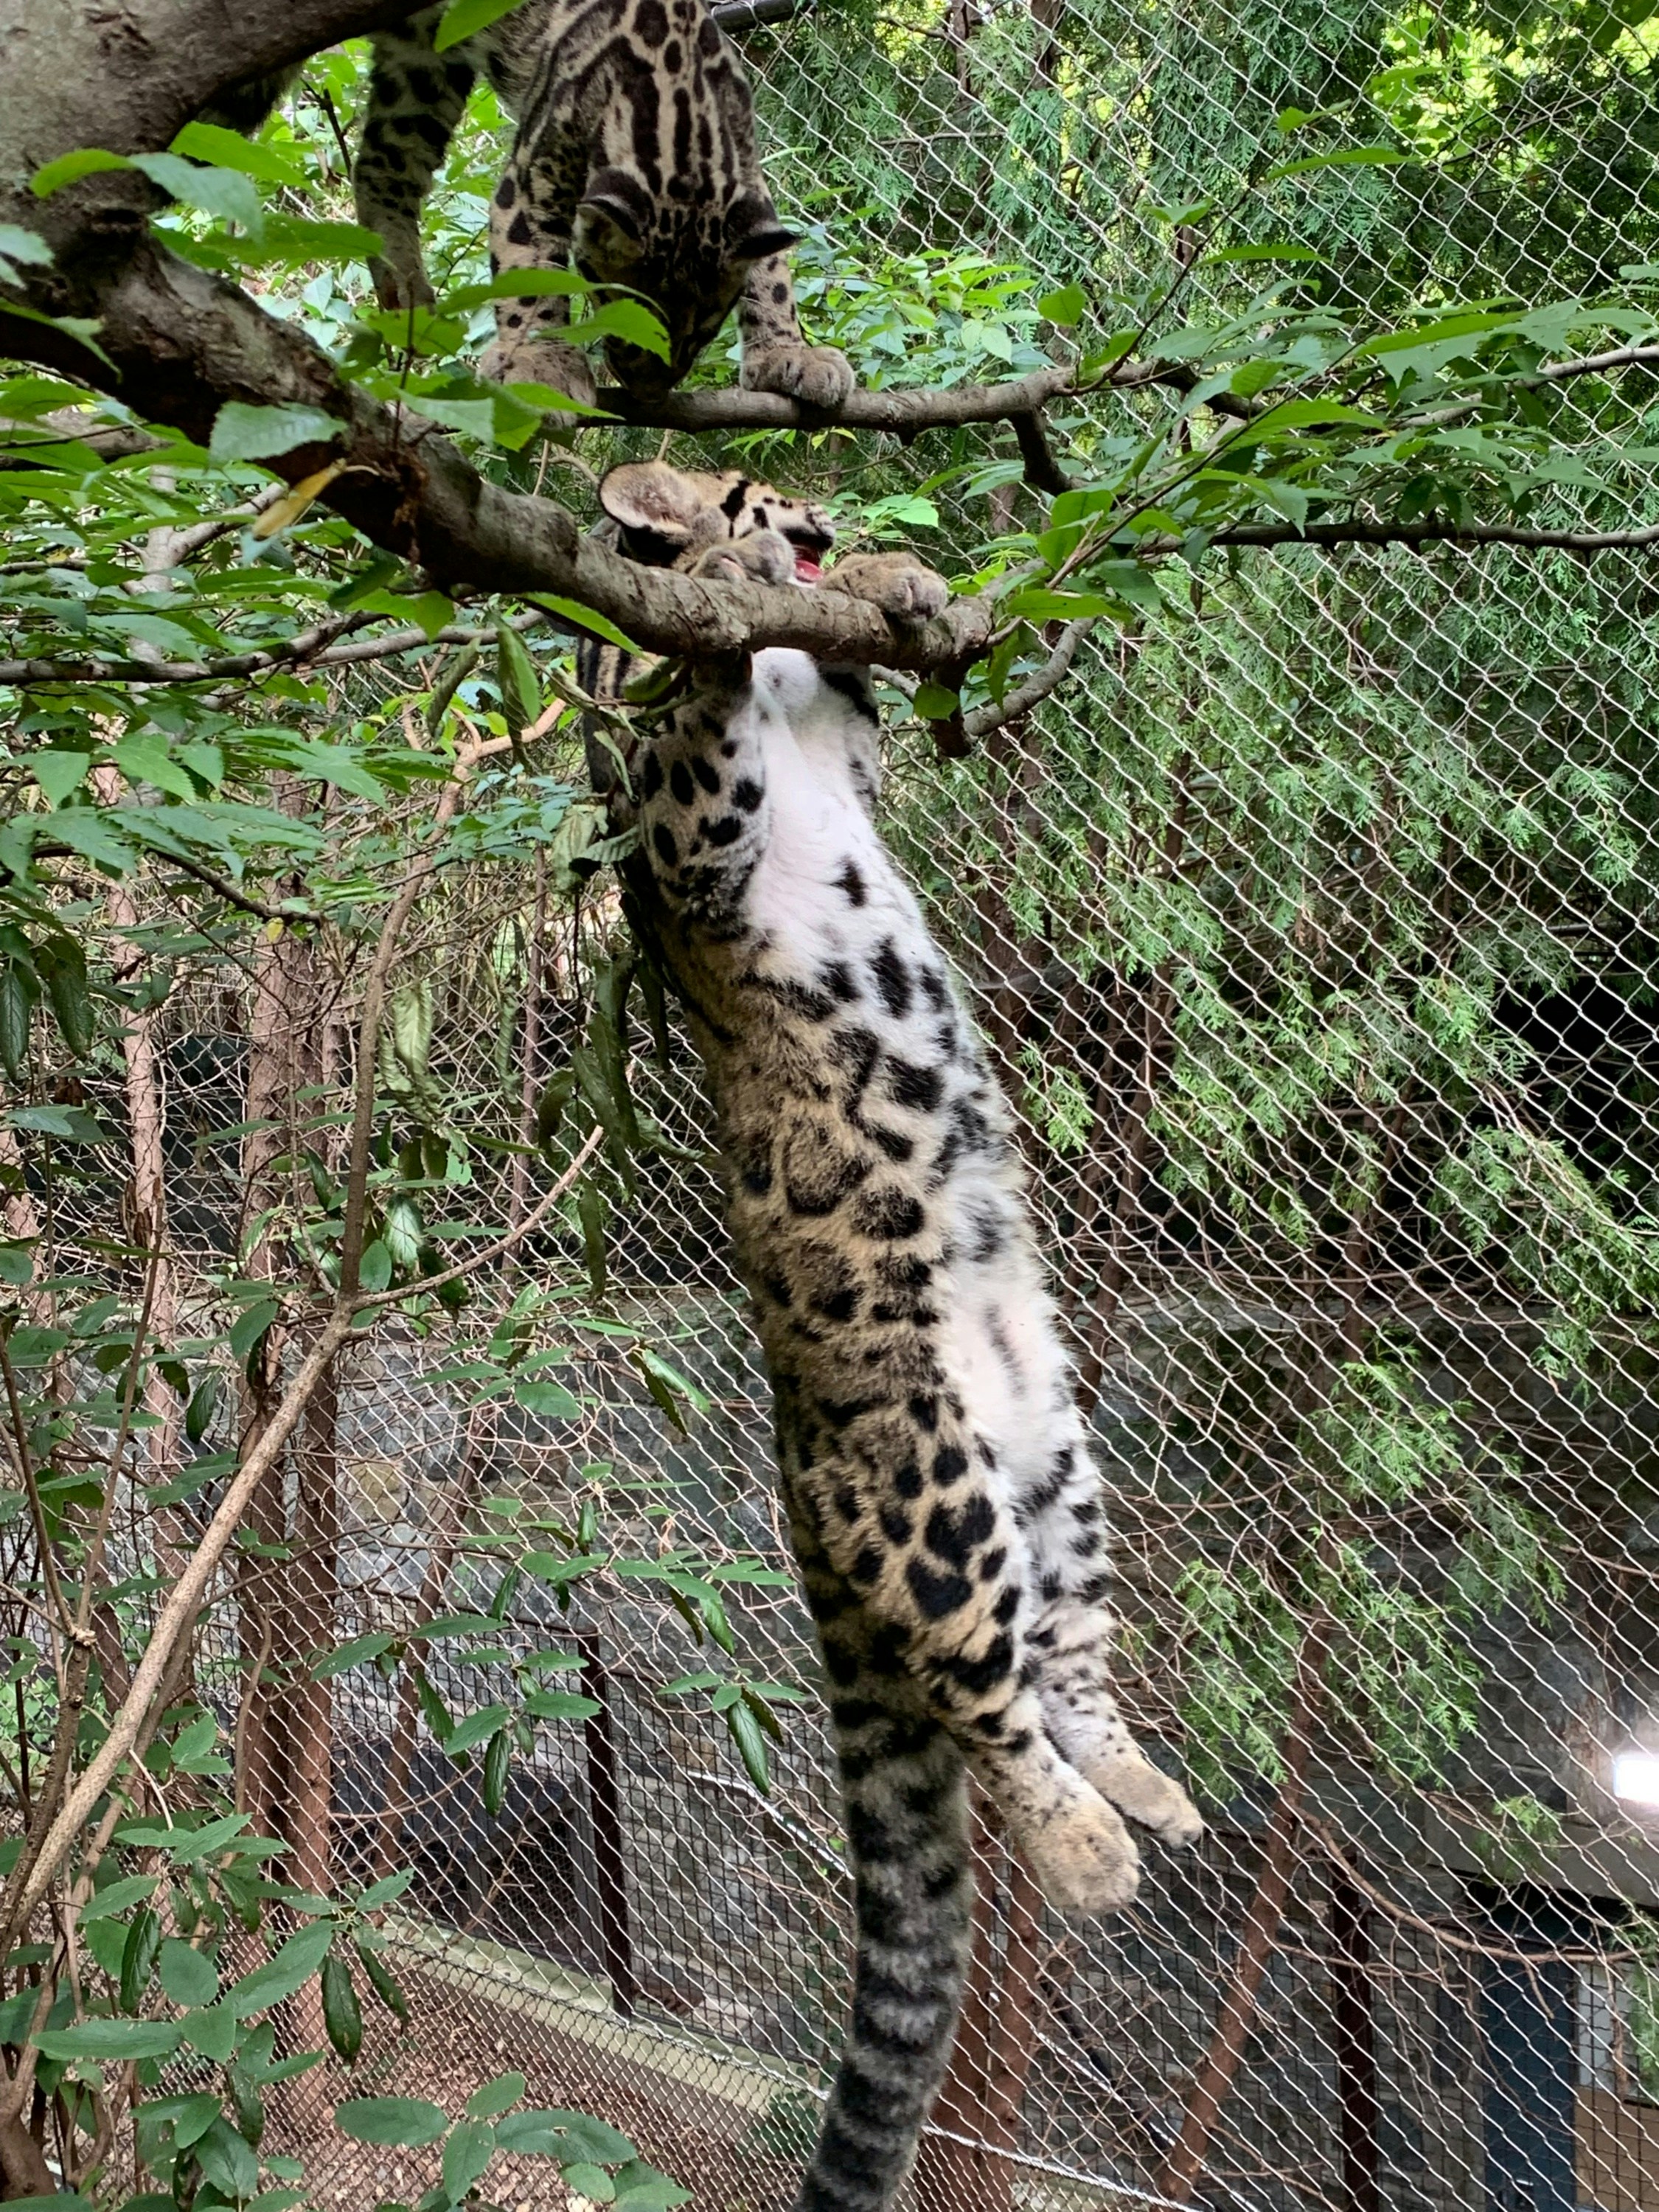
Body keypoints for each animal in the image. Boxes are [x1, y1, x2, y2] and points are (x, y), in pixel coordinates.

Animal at [211, 1, 853, 411]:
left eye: (701, 330)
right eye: (616, 304)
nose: (650, 393)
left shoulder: (749, 180)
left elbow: (772, 273)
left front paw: (790, 354)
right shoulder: (533, 172)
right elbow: (532, 269)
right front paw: (541, 365)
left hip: (425, 70)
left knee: (380, 169)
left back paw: (407, 293)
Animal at [581, 460, 1203, 2212]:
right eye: (747, 482)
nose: (804, 513)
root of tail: (798, 1474)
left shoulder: (845, 749)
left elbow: (860, 691)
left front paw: (891, 576)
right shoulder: (679, 833)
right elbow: (685, 714)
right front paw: (736, 588)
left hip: (1057, 1462)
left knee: (1066, 1666)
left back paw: (1142, 1791)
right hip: (925, 1491)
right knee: (983, 1703)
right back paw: (1091, 1855)